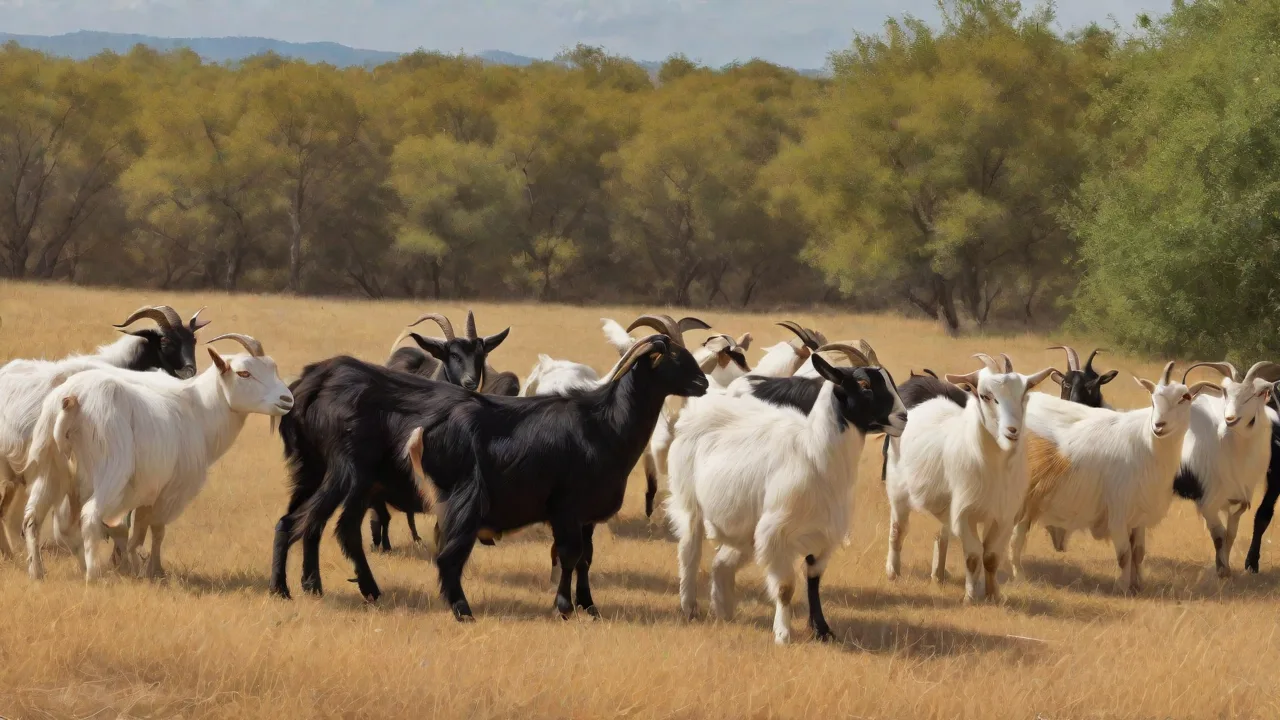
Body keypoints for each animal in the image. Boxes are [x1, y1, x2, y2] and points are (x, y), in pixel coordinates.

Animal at [22, 334, 291, 581]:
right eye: (244, 373)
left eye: (273, 367)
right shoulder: (172, 491)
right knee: (89, 517)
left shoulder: (147, 492)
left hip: (50, 468)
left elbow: (136, 531)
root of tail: (73, 399)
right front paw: (154, 570)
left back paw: (39, 572)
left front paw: (134, 567)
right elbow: (157, 530)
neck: (200, 411)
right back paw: (92, 575)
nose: (287, 399)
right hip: (111, 472)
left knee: (33, 518)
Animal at [271, 334, 708, 620]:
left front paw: (589, 605)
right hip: (350, 477)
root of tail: (314, 382)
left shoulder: (586, 516)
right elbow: (568, 555)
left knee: (312, 525)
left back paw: (332, 588)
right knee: (311, 524)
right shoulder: (566, 508)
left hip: (322, 475)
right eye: (673, 356)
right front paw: (564, 607)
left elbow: (585, 559)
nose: (703, 383)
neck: (602, 423)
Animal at [667, 351, 904, 644]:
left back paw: (724, 612)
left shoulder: (822, 536)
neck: (814, 454)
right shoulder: (777, 535)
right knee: (689, 551)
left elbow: (813, 582)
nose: (904, 417)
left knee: (721, 564)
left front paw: (822, 630)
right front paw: (783, 634)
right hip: (689, 504)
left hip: (747, 528)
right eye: (864, 384)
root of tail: (695, 414)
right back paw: (689, 608)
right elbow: (785, 588)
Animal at [884, 353, 1054, 602]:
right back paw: (893, 572)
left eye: (1024, 394)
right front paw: (971, 597)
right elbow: (973, 556)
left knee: (941, 535)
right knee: (898, 530)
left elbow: (991, 556)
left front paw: (994, 596)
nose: (1012, 430)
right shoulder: (965, 514)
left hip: (945, 506)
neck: (995, 466)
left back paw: (938, 575)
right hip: (898, 491)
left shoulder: (1004, 516)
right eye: (985, 395)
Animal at [1174, 361, 1280, 576]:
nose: (1230, 418)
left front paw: (1227, 566)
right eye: (1224, 391)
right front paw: (1222, 570)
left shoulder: (1238, 500)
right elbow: (1219, 535)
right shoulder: (1207, 500)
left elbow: (1231, 534)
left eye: (1257, 393)